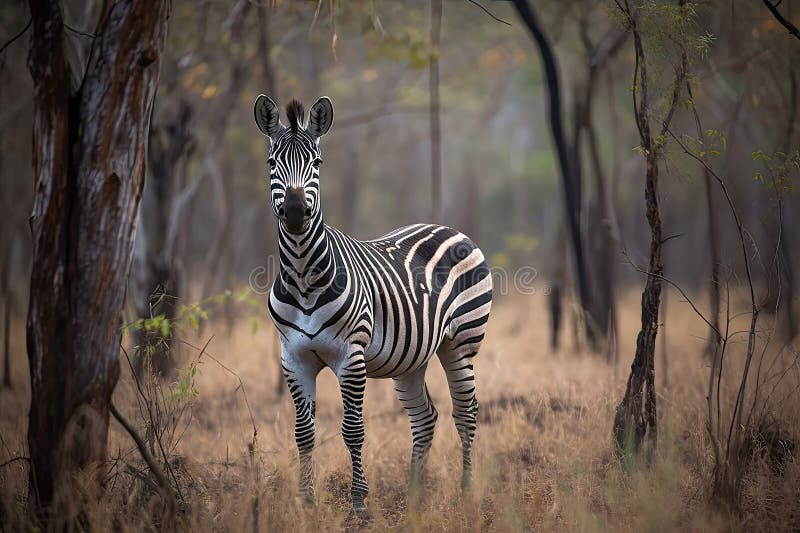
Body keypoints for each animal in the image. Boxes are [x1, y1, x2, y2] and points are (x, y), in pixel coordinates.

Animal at [254, 94, 493, 512]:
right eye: (271, 163)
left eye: (317, 163)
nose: (296, 213)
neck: (302, 275)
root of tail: (449, 228)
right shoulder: (293, 357)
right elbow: (303, 432)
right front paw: (306, 502)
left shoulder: (351, 354)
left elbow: (352, 430)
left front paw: (359, 503)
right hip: (411, 358)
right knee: (425, 417)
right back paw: (414, 497)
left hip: (461, 343)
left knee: (465, 412)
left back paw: (465, 492)